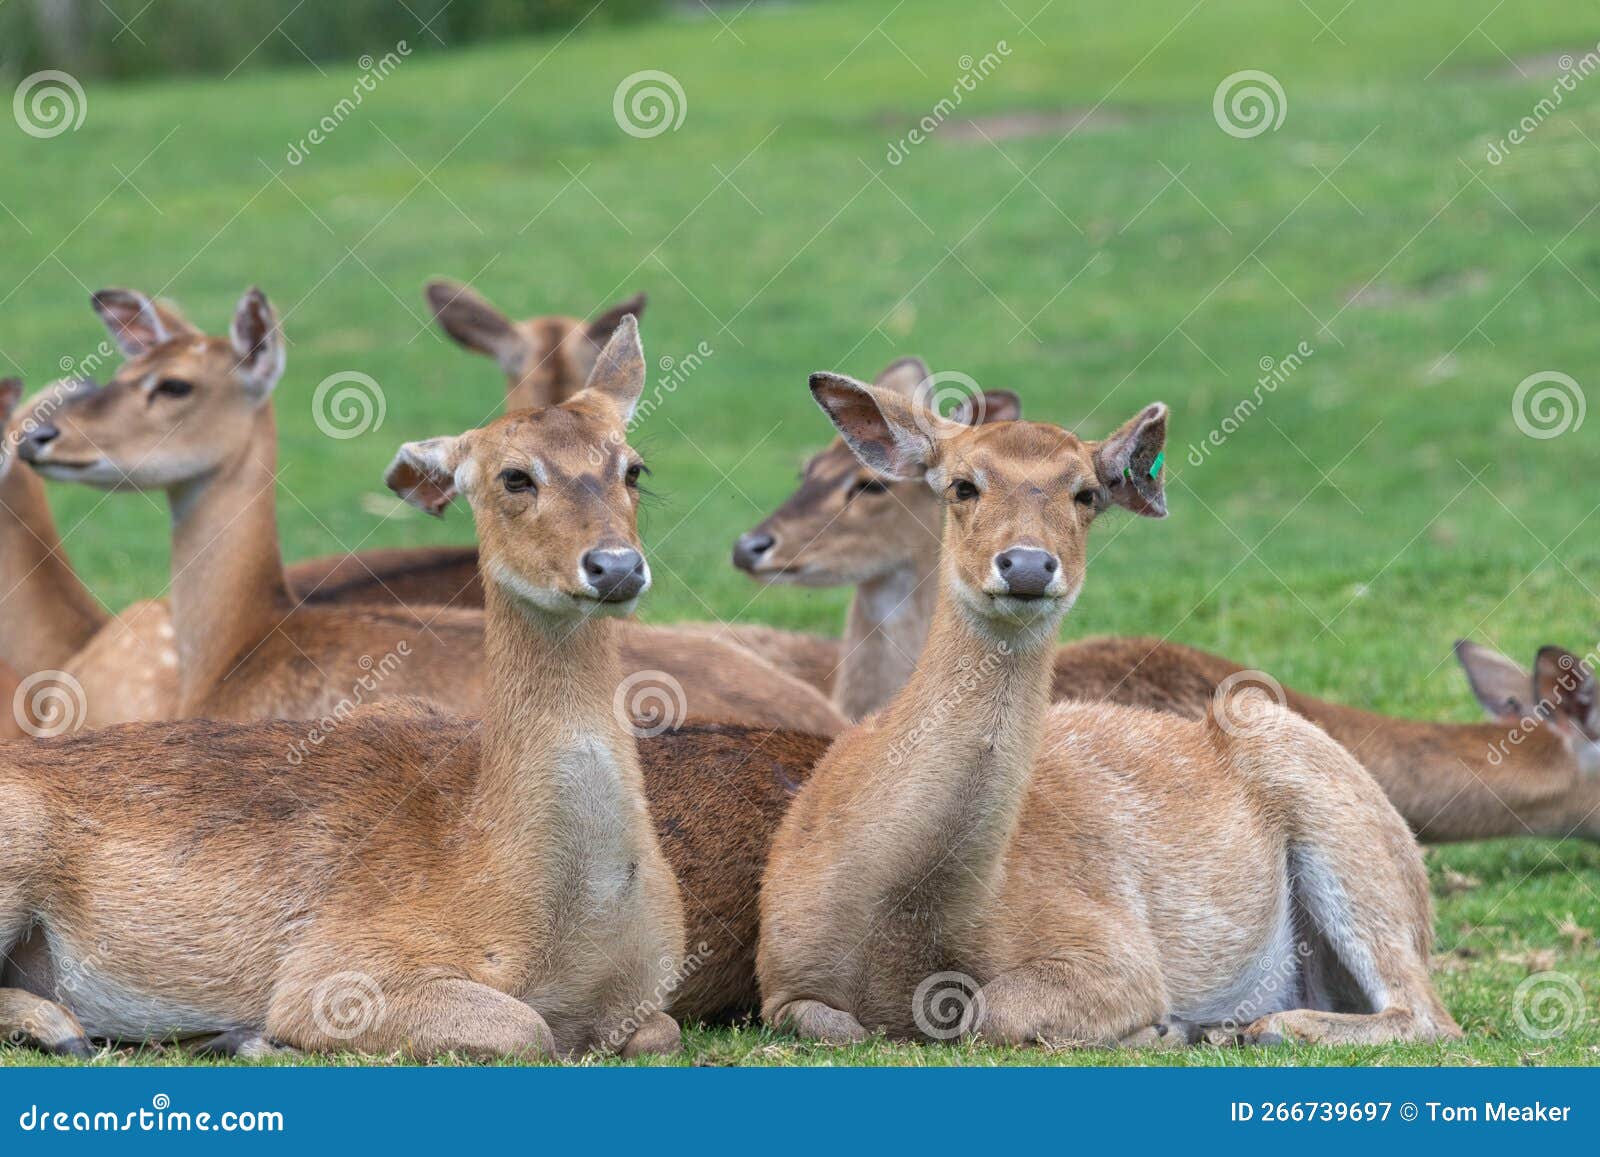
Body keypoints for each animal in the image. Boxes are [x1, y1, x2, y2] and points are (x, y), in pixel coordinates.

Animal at [0, 320, 693, 1059]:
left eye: (634, 468)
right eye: (515, 476)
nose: (615, 566)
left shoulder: (649, 994)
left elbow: (663, 1029)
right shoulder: (338, 968)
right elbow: (524, 1028)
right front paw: (258, 1036)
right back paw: (71, 1027)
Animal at [756, 372, 1460, 1049]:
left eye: (1087, 494)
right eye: (962, 485)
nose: (1028, 564)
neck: (902, 915)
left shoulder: (1109, 947)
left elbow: (991, 1011)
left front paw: (1165, 1027)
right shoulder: (778, 976)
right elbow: (825, 1020)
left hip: (1348, 830)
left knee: (1429, 1013)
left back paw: (1257, 1027)